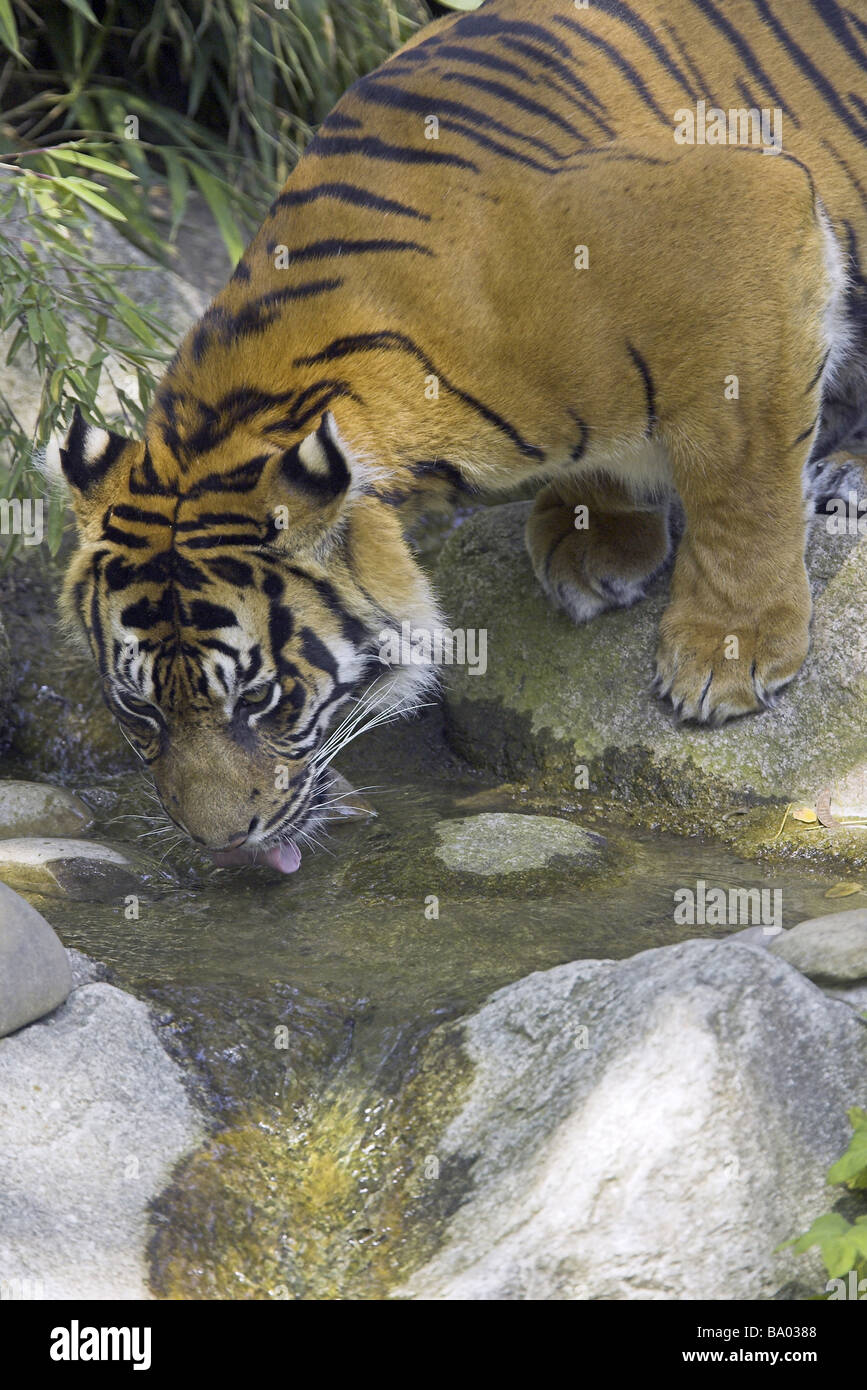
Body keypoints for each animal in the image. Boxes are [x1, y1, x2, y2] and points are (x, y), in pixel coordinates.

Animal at [45, 0, 867, 873]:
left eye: (260, 698)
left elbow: (740, 476)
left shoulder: (744, 216)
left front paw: (725, 652)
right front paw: (597, 537)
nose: (222, 845)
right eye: (139, 710)